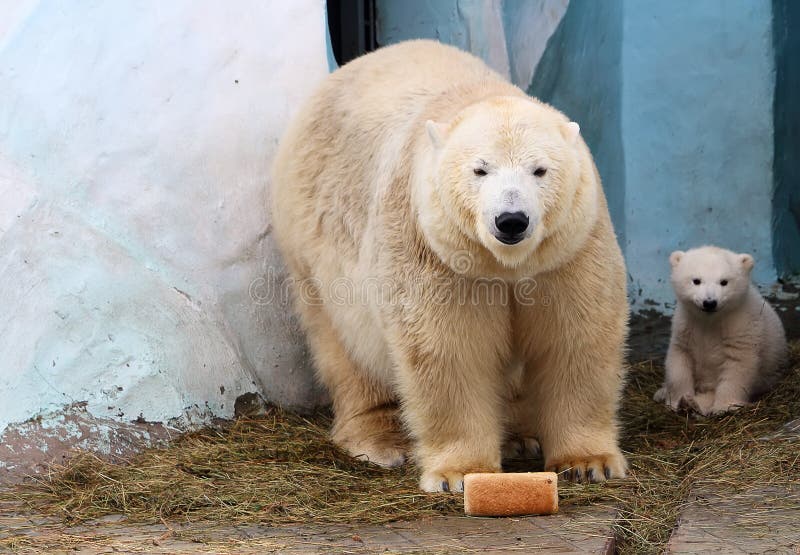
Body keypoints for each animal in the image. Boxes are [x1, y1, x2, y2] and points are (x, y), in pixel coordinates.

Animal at [271, 40, 629, 492]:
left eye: (540, 170)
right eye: (480, 169)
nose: (511, 220)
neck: (504, 266)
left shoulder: (569, 249)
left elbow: (576, 340)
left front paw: (589, 462)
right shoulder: (437, 254)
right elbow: (450, 351)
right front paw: (458, 473)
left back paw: (519, 434)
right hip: (312, 241)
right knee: (343, 343)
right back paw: (381, 439)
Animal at [654, 246, 788, 416]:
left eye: (724, 282)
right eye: (696, 280)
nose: (709, 302)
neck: (710, 320)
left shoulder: (740, 327)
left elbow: (737, 366)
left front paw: (725, 407)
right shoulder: (686, 326)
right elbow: (680, 360)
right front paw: (676, 401)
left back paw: (694, 404)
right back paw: (665, 394)